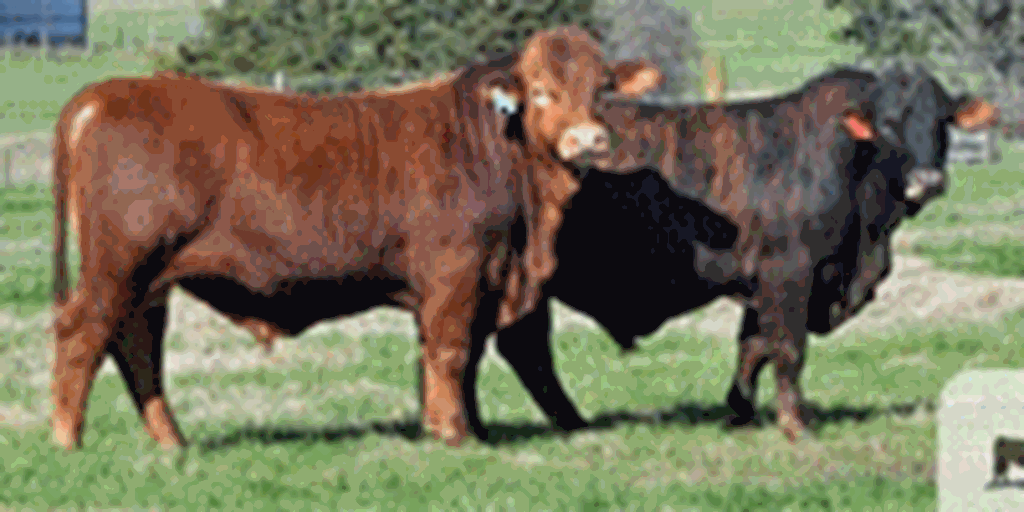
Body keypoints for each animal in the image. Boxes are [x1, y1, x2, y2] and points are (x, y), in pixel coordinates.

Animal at [49, 25, 665, 451]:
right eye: (540, 90)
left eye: (603, 88)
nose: (588, 140)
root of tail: (104, 95)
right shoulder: (455, 275)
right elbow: (450, 353)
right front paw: (454, 435)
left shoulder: (484, 281)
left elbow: (459, 359)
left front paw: (465, 428)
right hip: (119, 266)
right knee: (83, 334)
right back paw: (67, 439)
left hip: (150, 282)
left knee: (137, 347)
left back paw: (171, 442)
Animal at [465, 61, 1001, 442]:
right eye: (889, 123)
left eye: (944, 121)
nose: (928, 180)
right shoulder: (790, 273)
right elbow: (787, 349)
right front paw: (795, 425)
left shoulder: (764, 284)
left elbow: (752, 347)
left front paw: (739, 412)